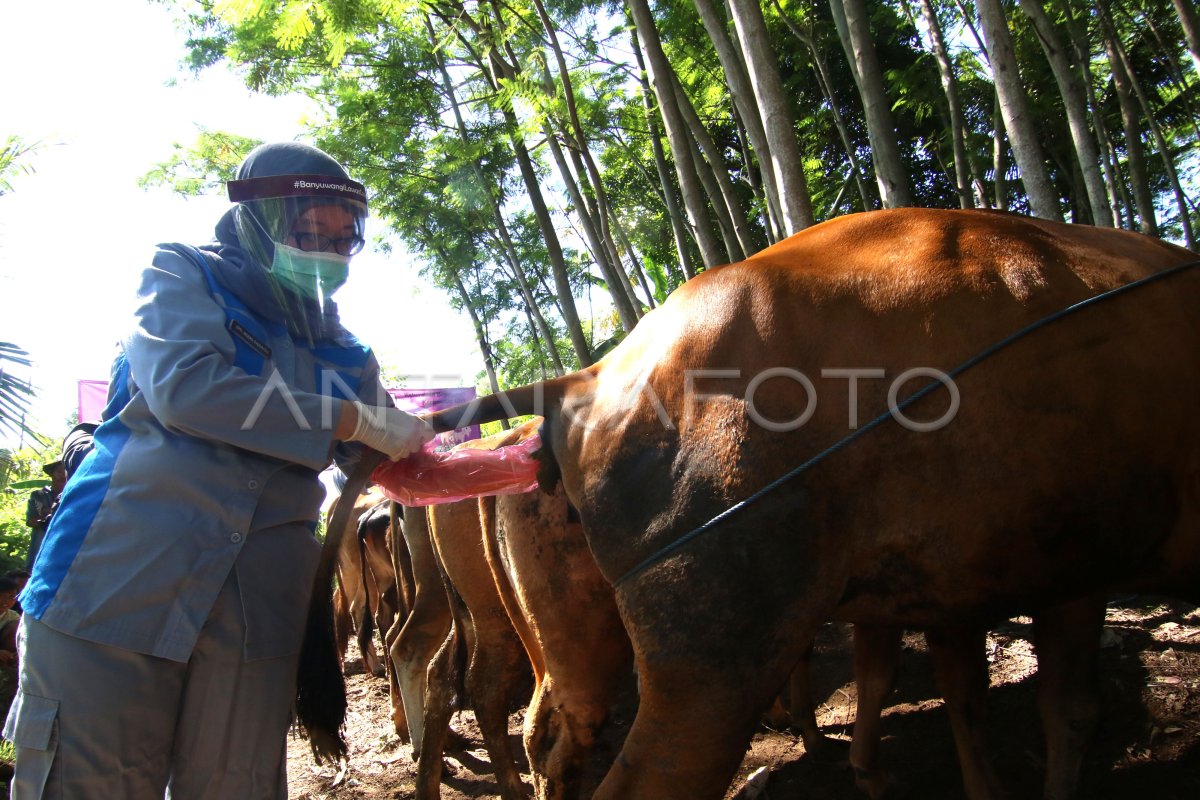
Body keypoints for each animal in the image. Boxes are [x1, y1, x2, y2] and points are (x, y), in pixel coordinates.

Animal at [422, 208, 1200, 800]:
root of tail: (587, 379)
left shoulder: (940, 591)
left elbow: (949, 690)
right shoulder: (1076, 566)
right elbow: (1066, 710)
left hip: (582, 642)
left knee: (545, 726)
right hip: (715, 665)